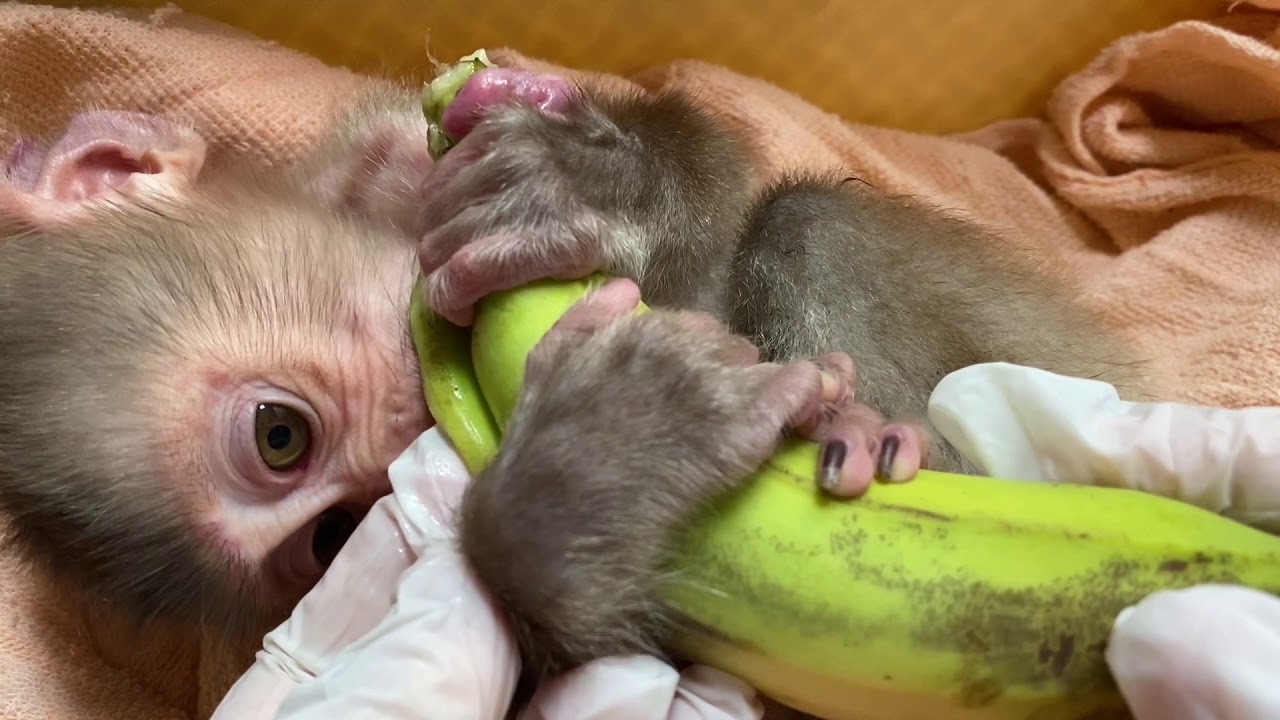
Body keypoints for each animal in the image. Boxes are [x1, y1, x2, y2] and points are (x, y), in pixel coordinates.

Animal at [0, 62, 1146, 708]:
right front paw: (590, 468)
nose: (395, 450)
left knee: (806, 219)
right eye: (331, 536)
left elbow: (711, 155)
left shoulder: (390, 142)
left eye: (278, 435)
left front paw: (587, 180)